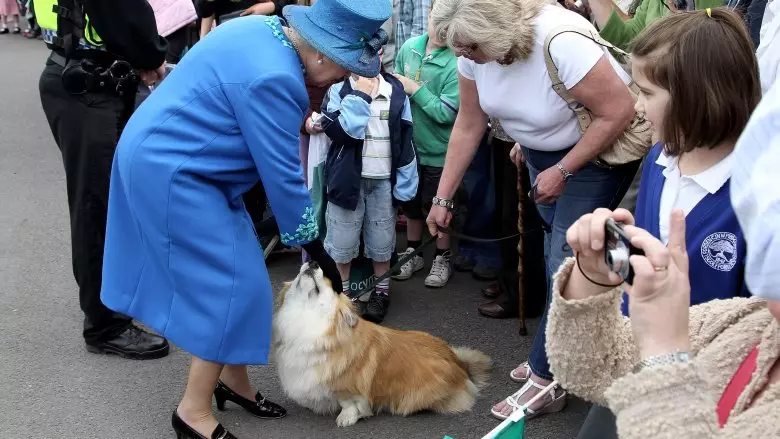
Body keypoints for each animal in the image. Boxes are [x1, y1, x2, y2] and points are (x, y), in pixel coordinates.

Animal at [274, 262, 490, 426]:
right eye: (297, 276)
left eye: (330, 284)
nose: (313, 262)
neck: (308, 320)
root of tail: (461, 364)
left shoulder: (346, 385)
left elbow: (348, 403)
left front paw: (346, 418)